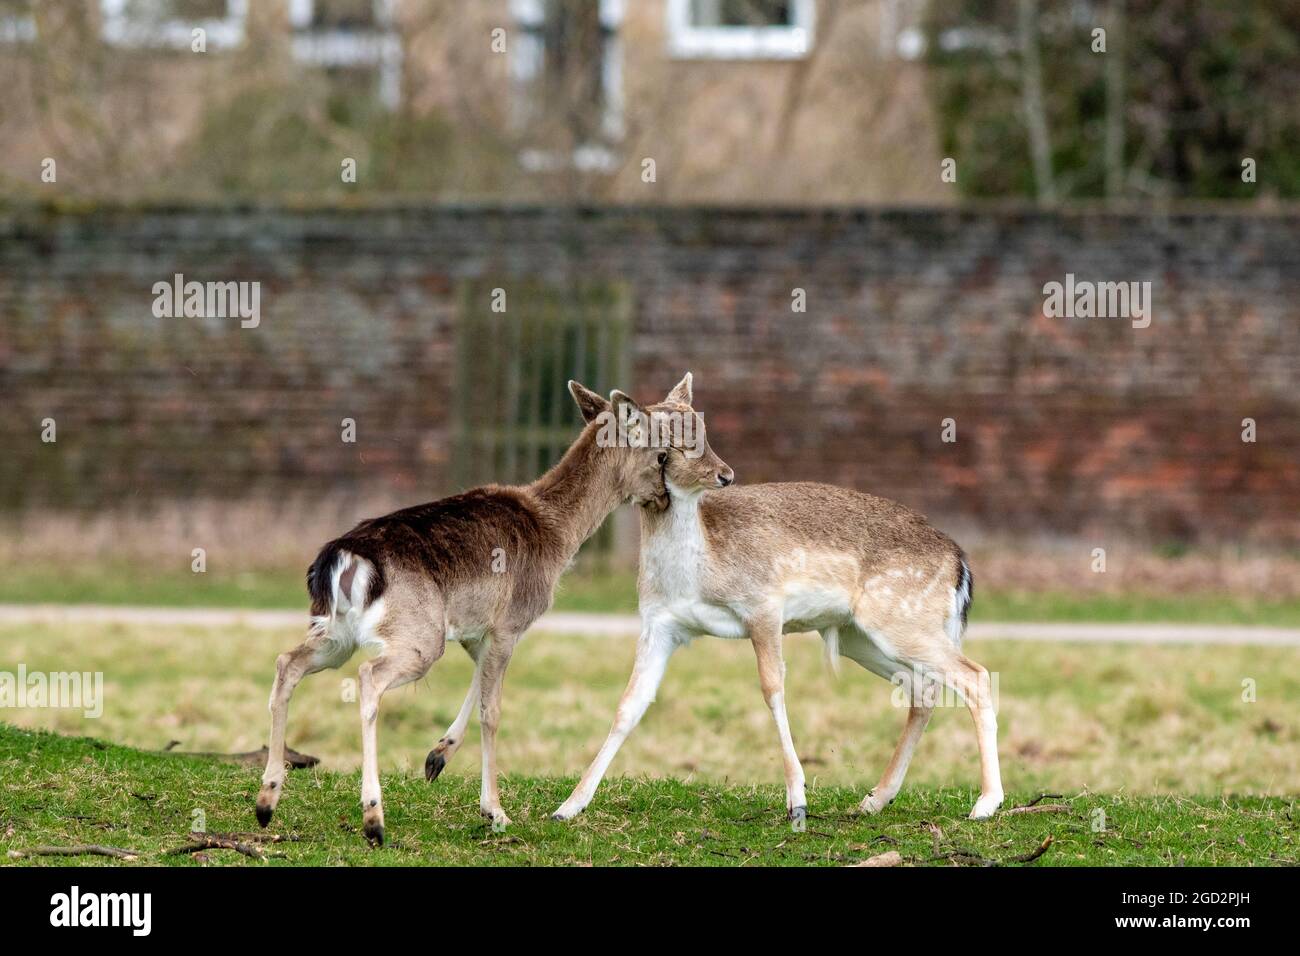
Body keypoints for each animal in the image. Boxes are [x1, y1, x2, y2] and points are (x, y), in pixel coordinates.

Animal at [255, 380, 671, 846]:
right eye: (662, 454)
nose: (665, 495)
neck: (558, 534)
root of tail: (342, 556)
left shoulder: (475, 628)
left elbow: (477, 683)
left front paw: (437, 758)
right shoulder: (510, 622)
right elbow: (493, 711)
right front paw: (495, 811)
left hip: (335, 634)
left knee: (287, 662)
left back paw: (267, 801)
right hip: (419, 635)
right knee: (368, 677)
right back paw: (374, 818)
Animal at [552, 373, 1003, 823]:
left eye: (704, 432)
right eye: (667, 448)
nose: (725, 474)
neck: (699, 571)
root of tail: (959, 561)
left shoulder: (764, 605)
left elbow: (772, 688)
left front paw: (797, 801)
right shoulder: (660, 624)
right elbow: (629, 704)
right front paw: (569, 806)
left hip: (900, 620)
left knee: (975, 675)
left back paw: (985, 803)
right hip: (861, 636)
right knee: (923, 691)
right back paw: (875, 799)